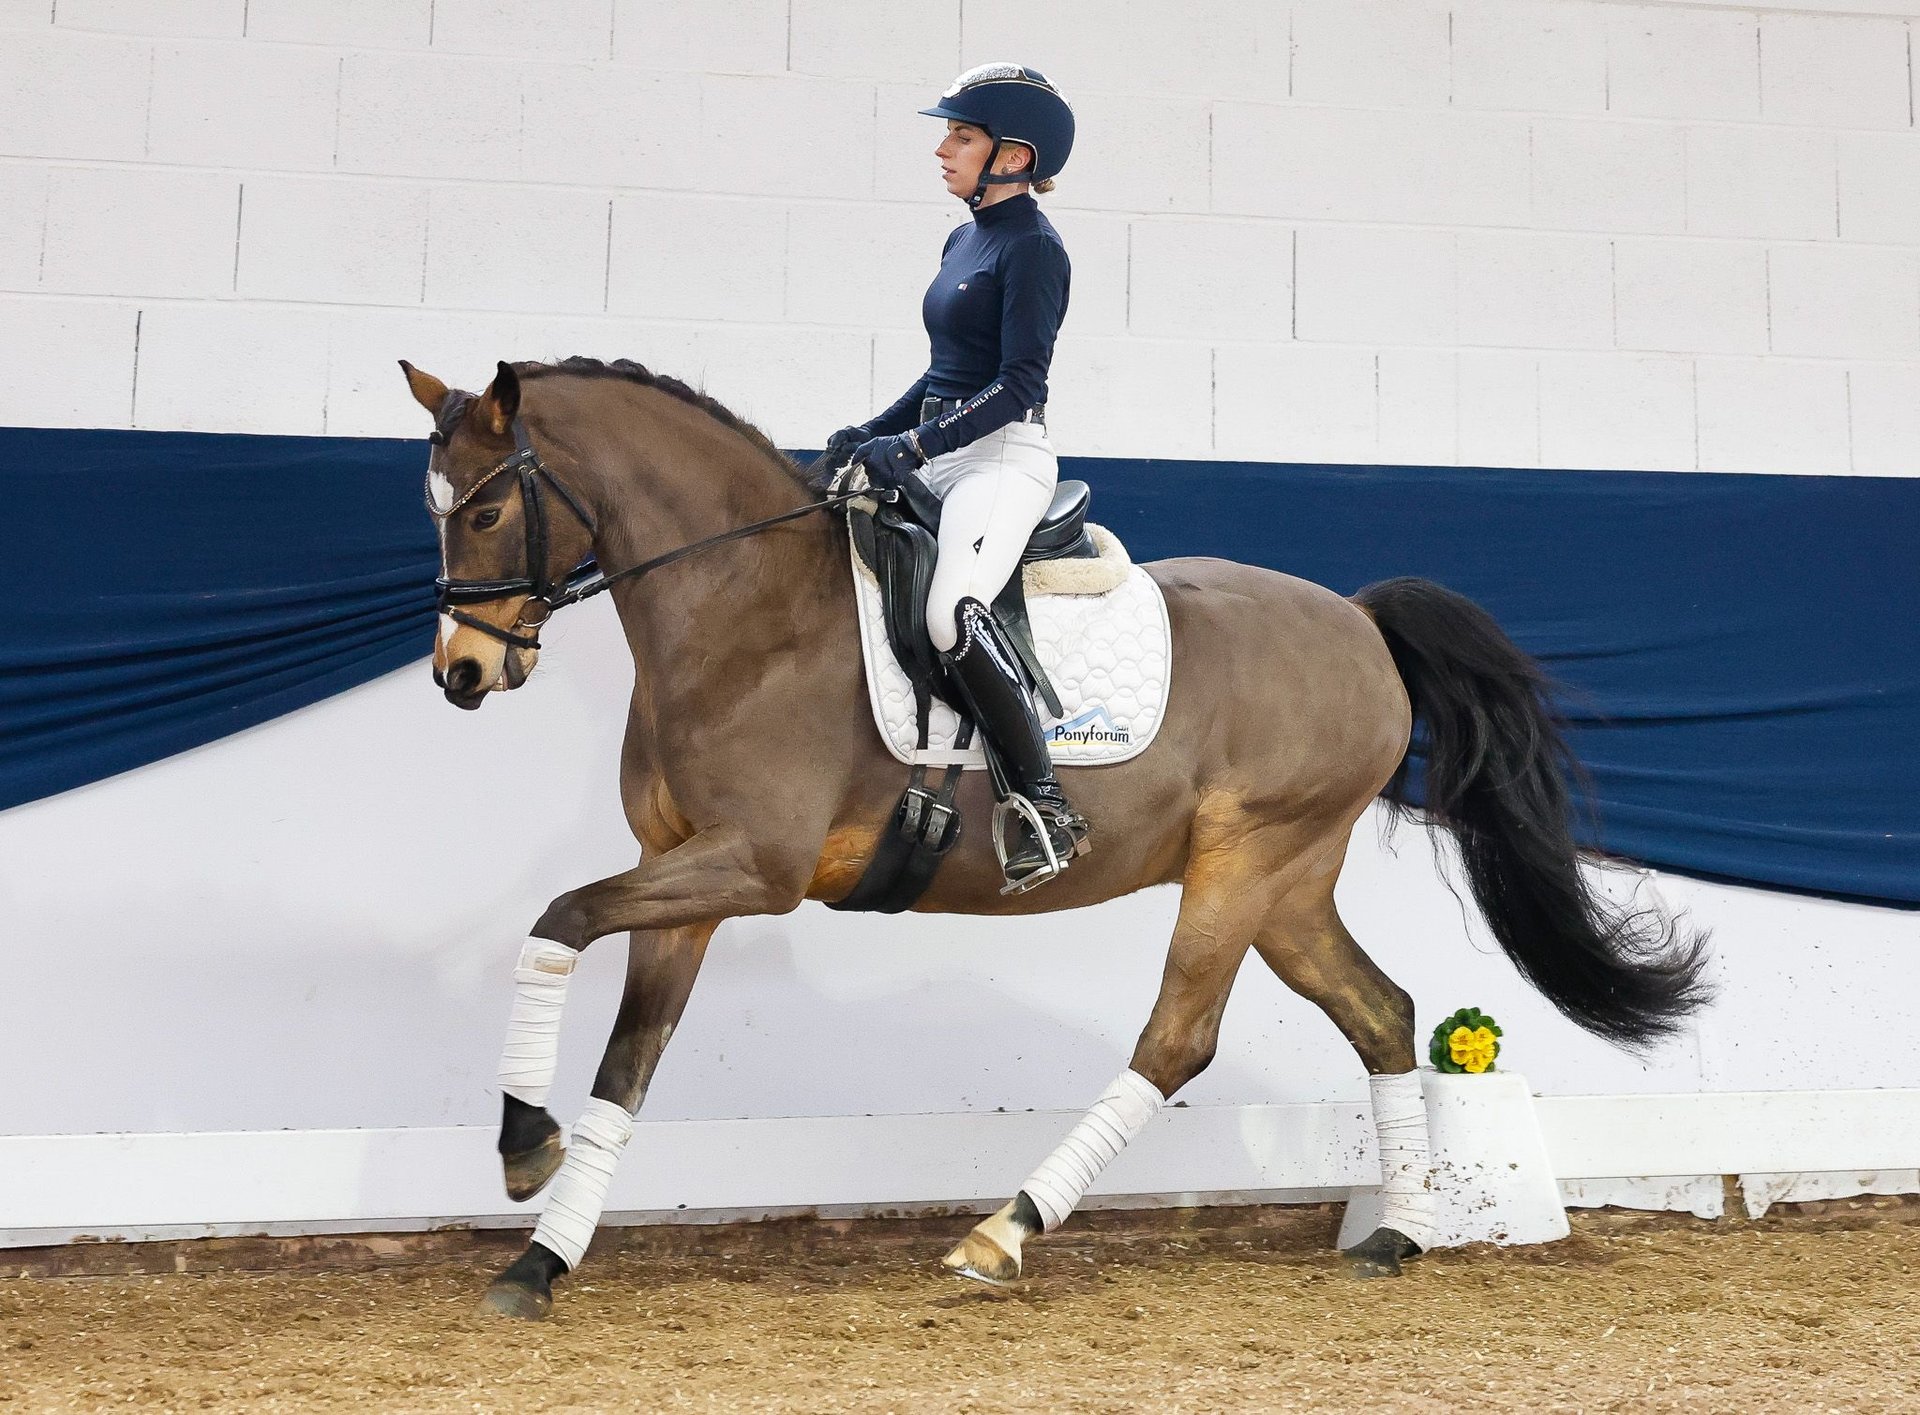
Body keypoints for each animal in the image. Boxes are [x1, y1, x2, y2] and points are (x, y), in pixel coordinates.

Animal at [401, 356, 1709, 1321]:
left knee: (1178, 1038)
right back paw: (1398, 1232)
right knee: (1383, 1012)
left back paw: (1003, 1230)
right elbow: (627, 1063)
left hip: (1243, 864)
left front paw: (520, 1144)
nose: (462, 673)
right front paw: (541, 1254)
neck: (743, 610)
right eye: (435, 509)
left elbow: (556, 919)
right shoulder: (690, 877)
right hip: (1290, 882)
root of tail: (1359, 619)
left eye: (487, 505)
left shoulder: (750, 869)